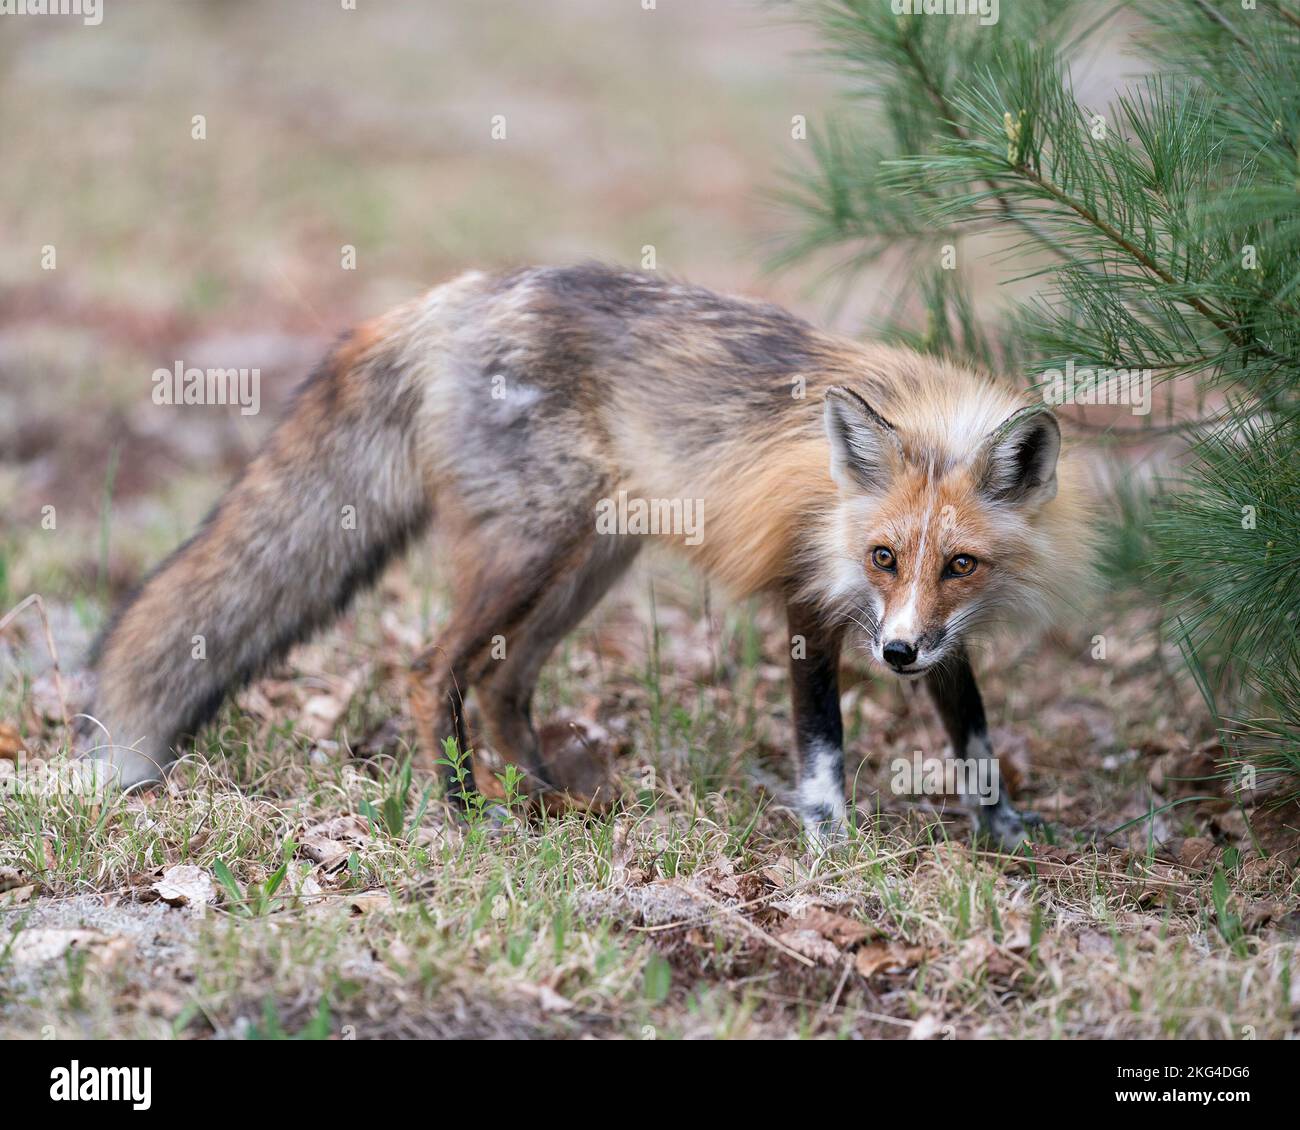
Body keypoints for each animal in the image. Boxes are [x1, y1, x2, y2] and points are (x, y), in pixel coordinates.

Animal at [82, 264, 1092, 847]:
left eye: (960, 564)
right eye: (883, 554)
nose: (894, 657)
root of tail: (448, 297)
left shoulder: (941, 634)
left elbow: (975, 737)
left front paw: (1003, 828)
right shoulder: (812, 595)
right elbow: (823, 746)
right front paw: (830, 844)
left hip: (587, 565)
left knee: (502, 684)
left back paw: (548, 798)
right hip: (535, 549)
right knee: (431, 669)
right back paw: (466, 813)